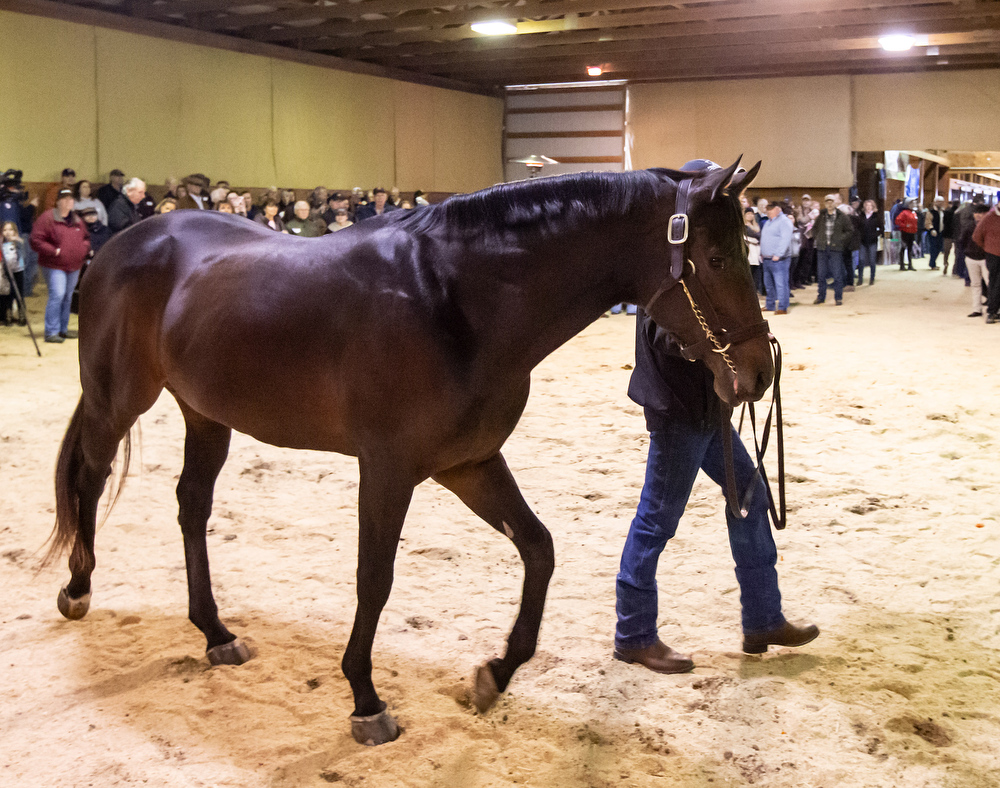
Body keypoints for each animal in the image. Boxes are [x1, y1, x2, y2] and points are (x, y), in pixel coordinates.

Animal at [46, 158, 772, 746]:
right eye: (715, 257)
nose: (759, 373)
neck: (454, 298)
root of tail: (122, 244)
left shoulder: (468, 464)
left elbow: (539, 550)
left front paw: (494, 674)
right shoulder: (389, 470)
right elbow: (376, 577)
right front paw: (366, 701)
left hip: (206, 415)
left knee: (191, 505)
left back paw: (215, 633)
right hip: (118, 399)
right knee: (91, 477)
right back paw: (78, 590)